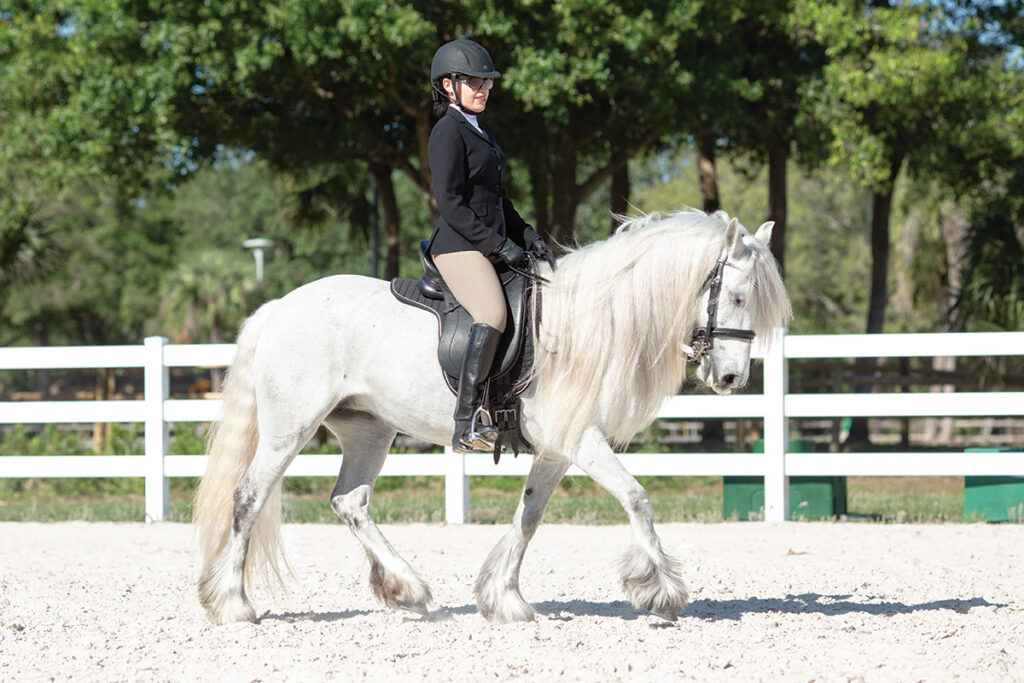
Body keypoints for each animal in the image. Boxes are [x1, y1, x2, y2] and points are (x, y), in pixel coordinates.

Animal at [193, 208, 792, 625]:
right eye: (738, 296)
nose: (732, 379)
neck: (590, 320)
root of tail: (278, 307)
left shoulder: (558, 447)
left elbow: (529, 517)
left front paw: (504, 600)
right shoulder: (582, 440)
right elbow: (638, 498)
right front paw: (660, 590)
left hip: (369, 430)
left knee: (350, 502)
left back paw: (408, 589)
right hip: (289, 430)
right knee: (248, 498)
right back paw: (234, 605)